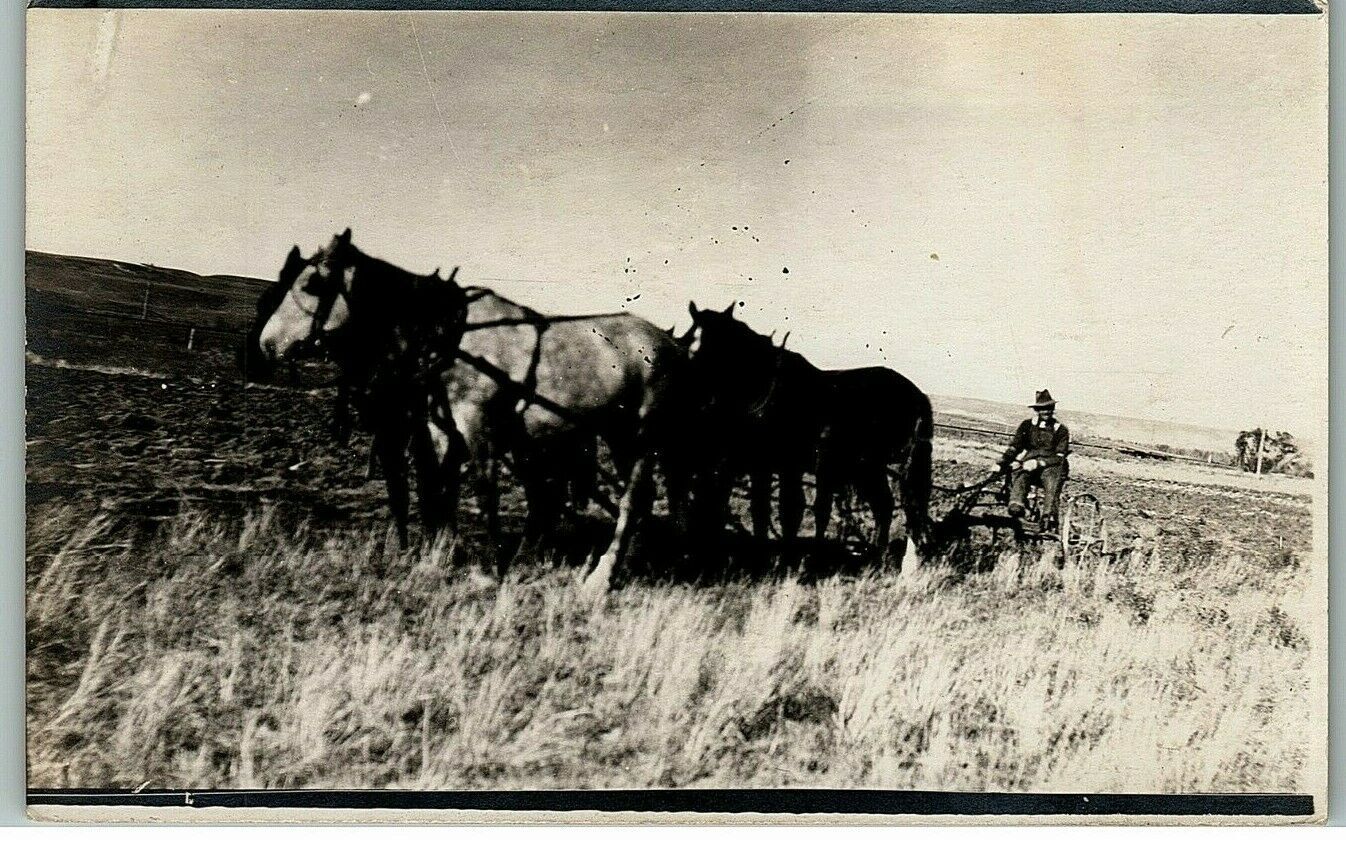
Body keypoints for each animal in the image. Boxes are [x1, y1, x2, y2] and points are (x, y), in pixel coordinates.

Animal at [252, 229, 690, 589]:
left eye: (312, 284)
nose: (266, 344)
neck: (451, 338)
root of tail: (671, 344)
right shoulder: (441, 429)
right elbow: (440, 490)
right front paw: (436, 559)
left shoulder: (479, 424)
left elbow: (483, 493)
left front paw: (491, 566)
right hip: (614, 435)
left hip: (640, 436)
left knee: (633, 500)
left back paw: (603, 576)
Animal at [683, 301, 933, 569]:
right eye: (690, 342)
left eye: (711, 347)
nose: (695, 397)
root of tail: (917, 395)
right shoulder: (764, 466)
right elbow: (766, 508)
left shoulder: (785, 466)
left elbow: (790, 509)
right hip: (865, 468)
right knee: (883, 506)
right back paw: (874, 558)